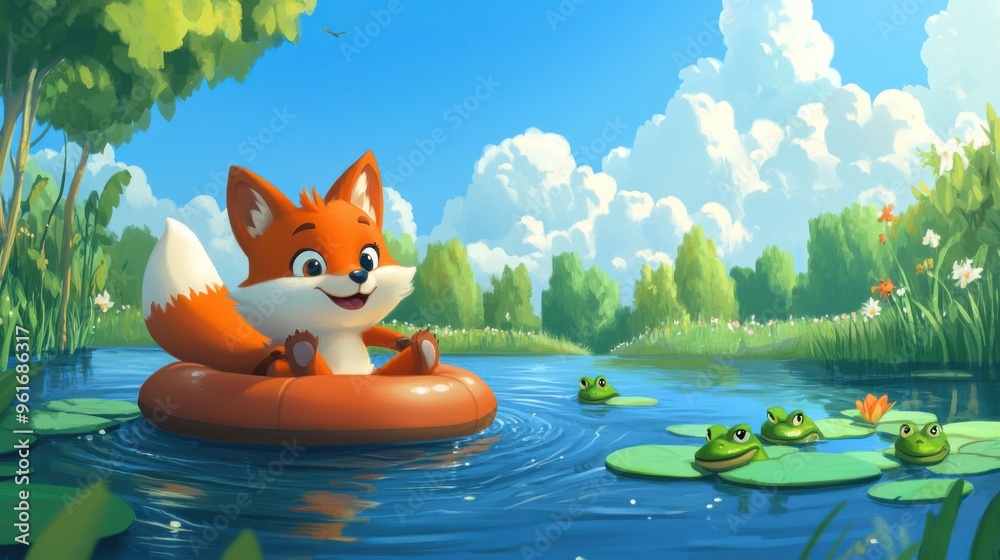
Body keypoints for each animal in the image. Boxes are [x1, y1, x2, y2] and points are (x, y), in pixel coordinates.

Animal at [141, 151, 439, 377]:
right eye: (312, 266)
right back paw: (304, 354)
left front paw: (406, 341)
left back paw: (424, 350)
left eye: (368, 259)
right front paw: (303, 352)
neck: (336, 335)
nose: (358, 275)